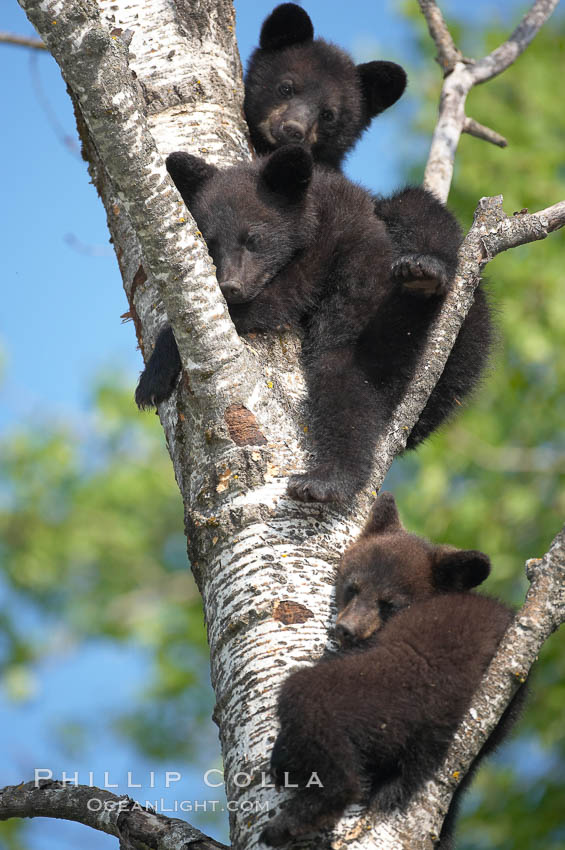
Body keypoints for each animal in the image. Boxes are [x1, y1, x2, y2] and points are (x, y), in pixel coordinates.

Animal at [136, 146, 491, 503]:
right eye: (208, 242)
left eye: (253, 238)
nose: (230, 286)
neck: (313, 216)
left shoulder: (325, 247)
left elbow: (279, 300)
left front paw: (153, 374)